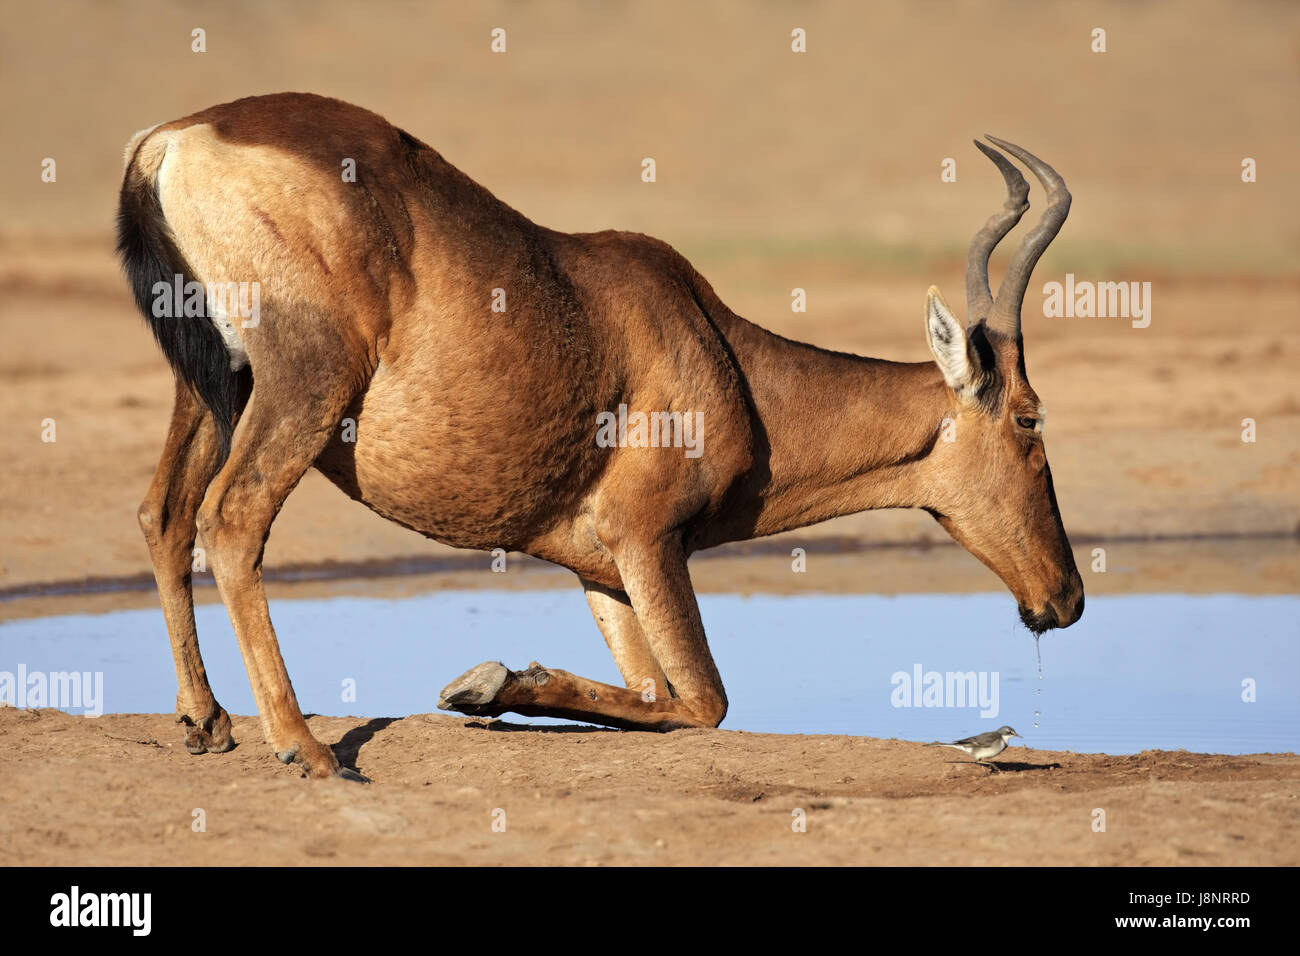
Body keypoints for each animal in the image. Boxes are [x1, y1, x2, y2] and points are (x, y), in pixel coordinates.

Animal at [118, 93, 1083, 781]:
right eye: (1030, 417)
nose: (1065, 598)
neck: (711, 342)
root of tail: (177, 138)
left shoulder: (601, 568)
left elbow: (653, 688)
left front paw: (487, 685)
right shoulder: (647, 539)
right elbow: (704, 701)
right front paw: (487, 684)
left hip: (216, 386)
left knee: (164, 515)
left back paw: (206, 722)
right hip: (301, 383)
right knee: (232, 518)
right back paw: (305, 746)